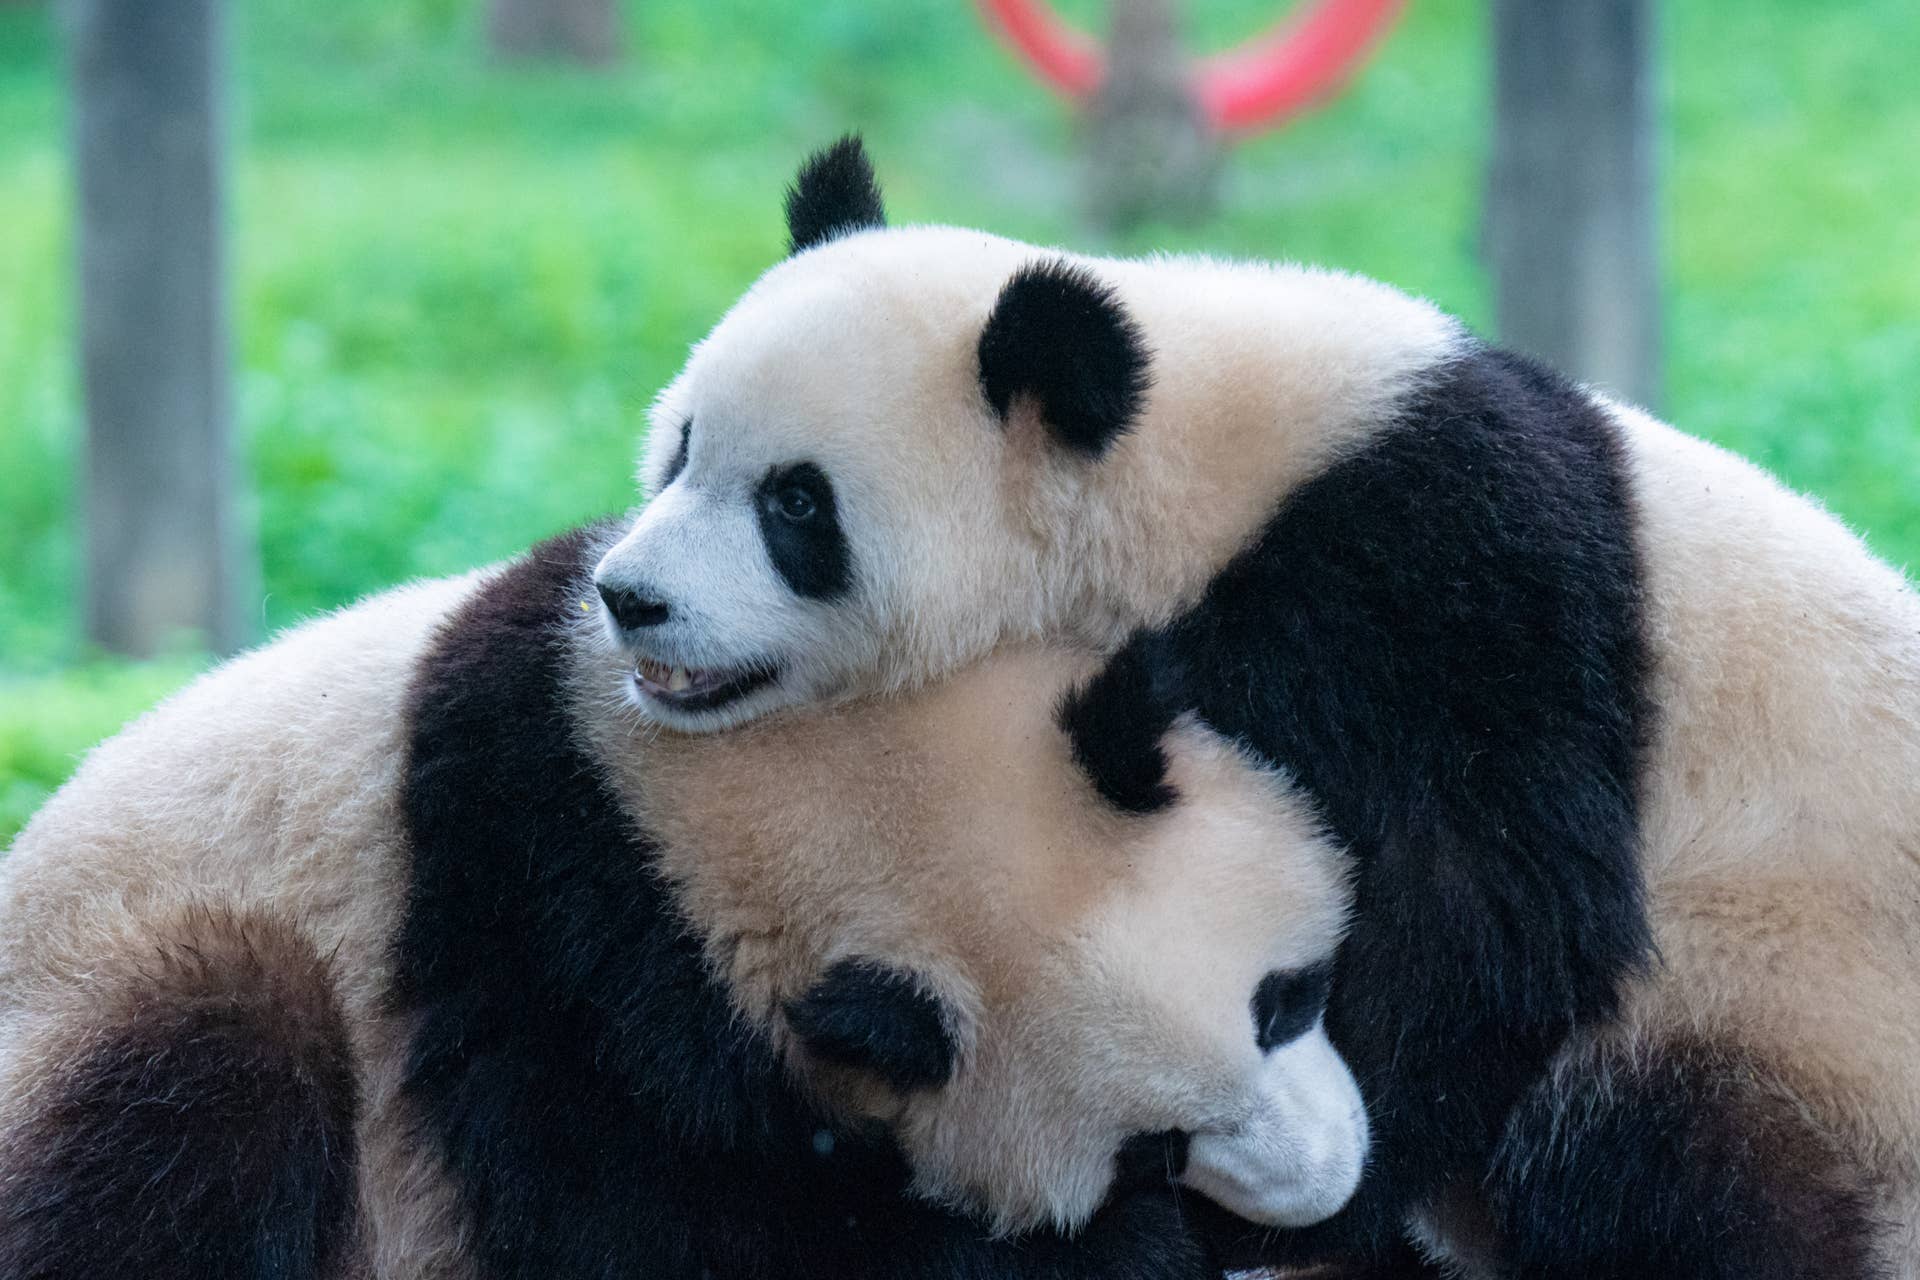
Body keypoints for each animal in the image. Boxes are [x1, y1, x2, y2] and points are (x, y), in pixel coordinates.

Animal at [0, 519, 1365, 1278]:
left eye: (1290, 998)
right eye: (1154, 1148)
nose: (1335, 1178)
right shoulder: (548, 960)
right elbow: (640, 1226)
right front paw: (1125, 1250)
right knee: (205, 1058)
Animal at [586, 137, 1920, 1279]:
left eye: (794, 505)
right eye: (681, 448)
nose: (628, 596)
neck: (1180, 464)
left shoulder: (1435, 583)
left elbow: (1486, 901)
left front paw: (1287, 1198)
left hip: (1790, 1005)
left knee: (1677, 1159)